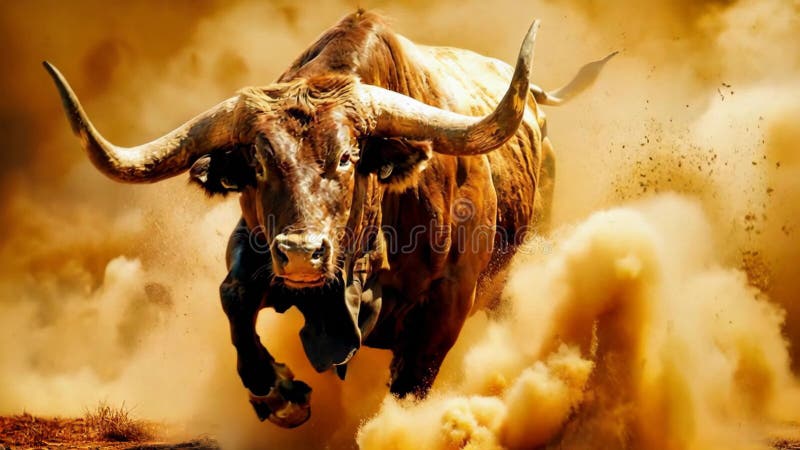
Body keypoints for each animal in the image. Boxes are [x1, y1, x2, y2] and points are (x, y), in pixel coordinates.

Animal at [44, 10, 614, 428]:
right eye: (258, 162)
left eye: (347, 156)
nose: (302, 253)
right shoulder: (254, 252)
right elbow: (234, 300)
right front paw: (280, 395)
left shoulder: (446, 307)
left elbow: (411, 385)